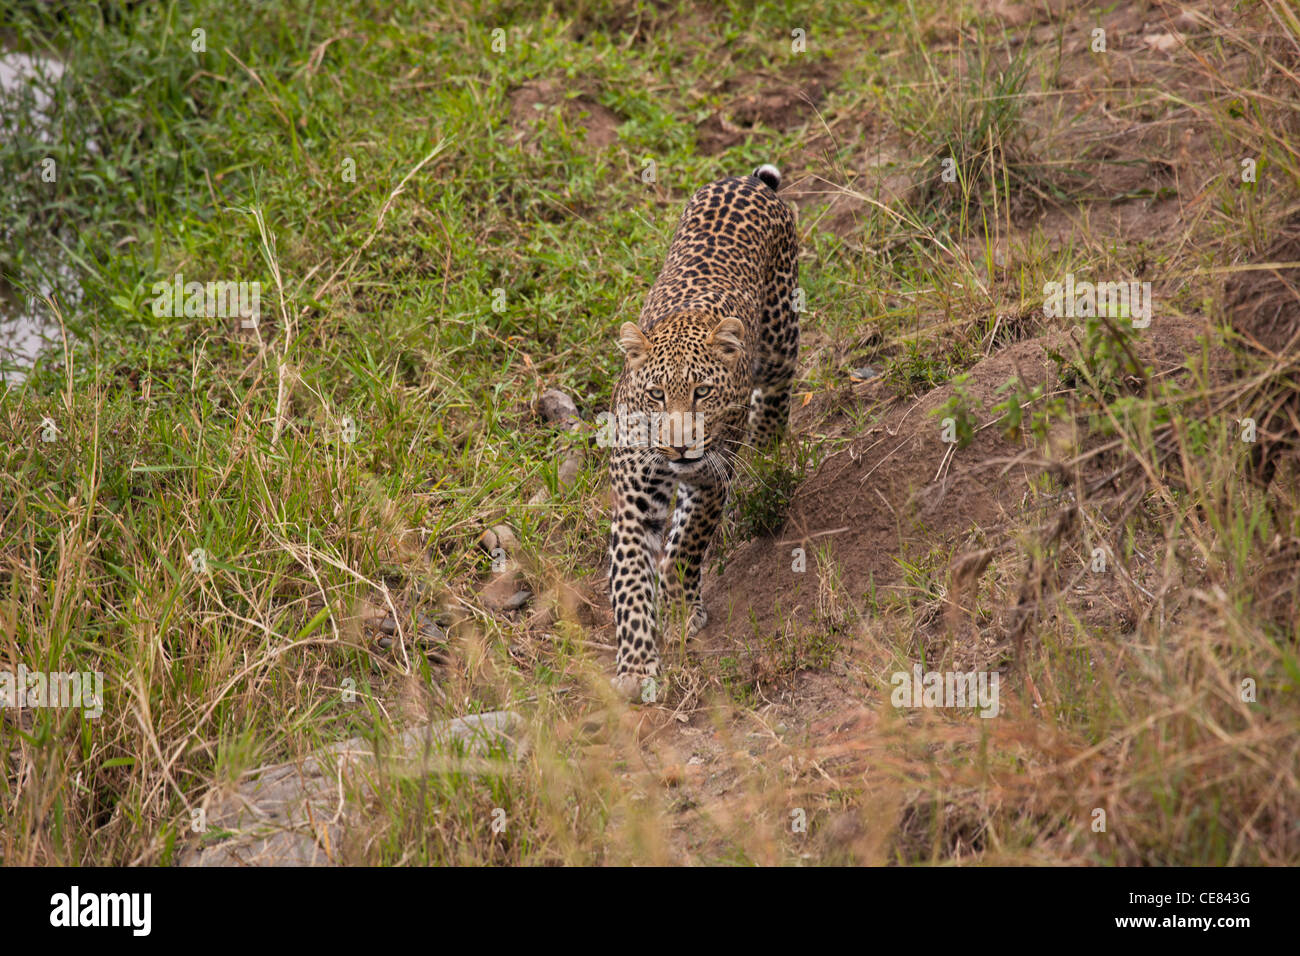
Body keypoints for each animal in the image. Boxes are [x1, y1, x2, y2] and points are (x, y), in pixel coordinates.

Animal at [606, 163, 799, 698]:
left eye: (702, 393)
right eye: (656, 396)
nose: (678, 447)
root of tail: (746, 181)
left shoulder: (710, 478)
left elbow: (686, 545)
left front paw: (678, 611)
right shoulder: (634, 504)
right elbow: (630, 585)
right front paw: (636, 667)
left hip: (781, 334)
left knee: (775, 393)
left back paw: (768, 455)